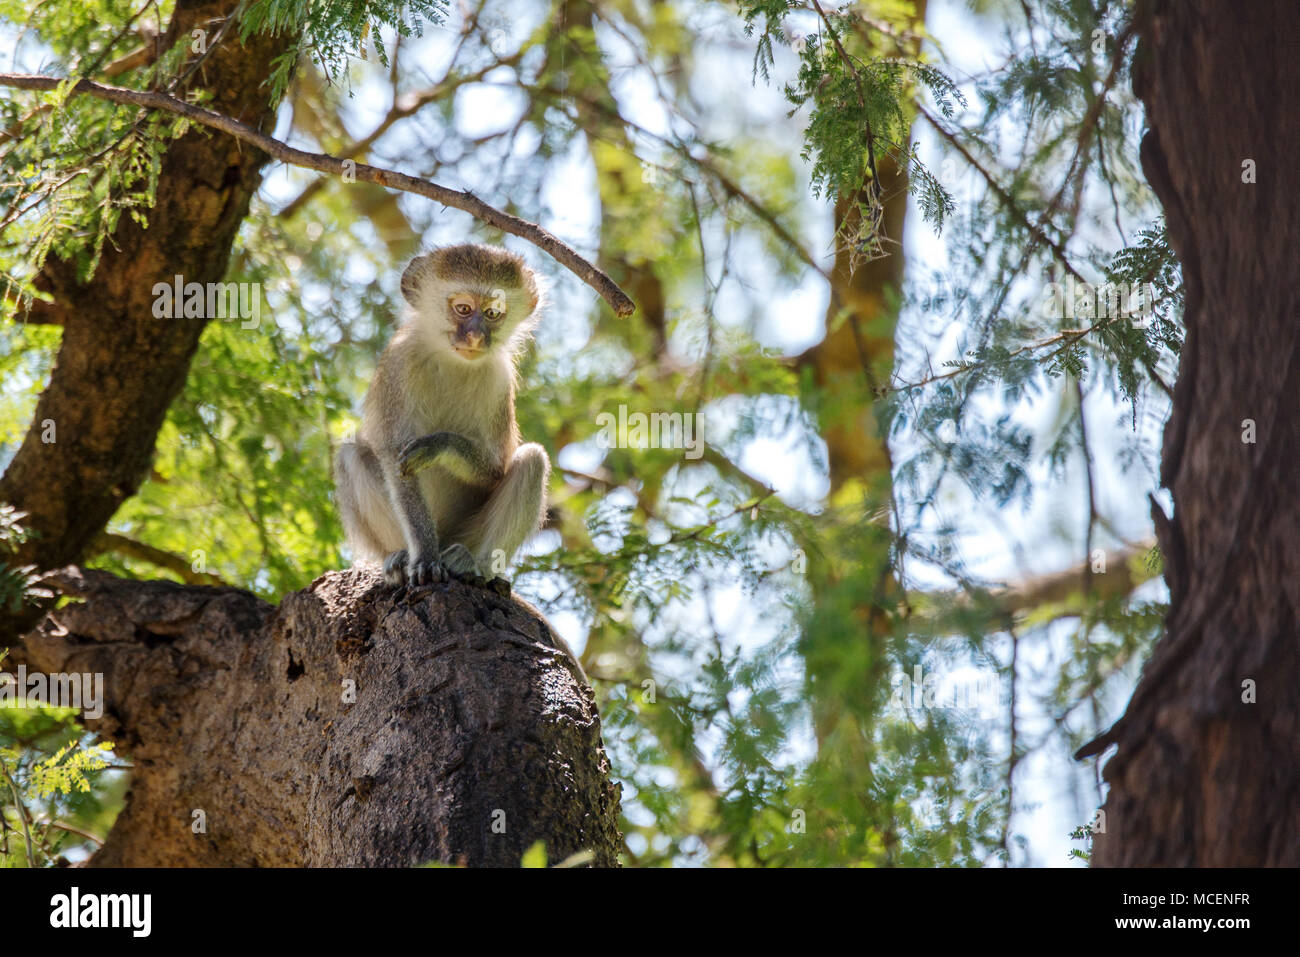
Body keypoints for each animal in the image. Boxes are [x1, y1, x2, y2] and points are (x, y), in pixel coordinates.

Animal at [334, 243, 551, 593]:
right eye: (463, 308)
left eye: (493, 313)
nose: (475, 336)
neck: (451, 360)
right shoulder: (398, 363)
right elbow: (395, 459)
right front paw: (424, 556)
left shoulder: (499, 380)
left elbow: (495, 469)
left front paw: (439, 445)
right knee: (350, 452)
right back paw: (399, 558)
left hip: (468, 533)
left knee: (533, 460)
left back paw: (474, 564)